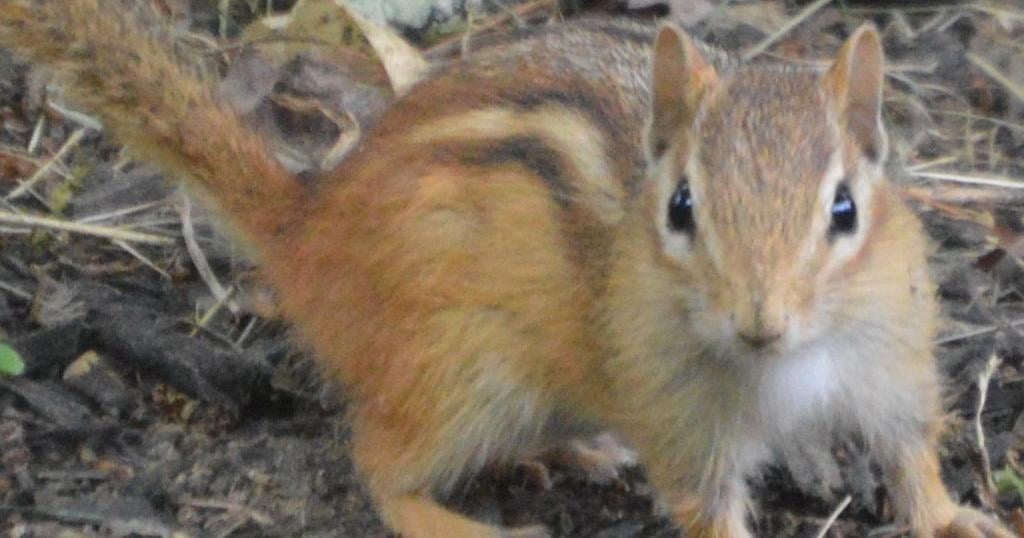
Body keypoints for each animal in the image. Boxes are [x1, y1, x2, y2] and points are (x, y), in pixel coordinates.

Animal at [0, 1, 1014, 537]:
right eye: (682, 208)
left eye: (844, 210)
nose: (759, 320)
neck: (789, 365)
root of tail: (311, 223)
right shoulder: (686, 423)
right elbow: (708, 506)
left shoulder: (889, 362)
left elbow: (911, 453)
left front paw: (956, 518)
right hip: (454, 372)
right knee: (380, 468)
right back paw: (460, 521)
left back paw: (570, 450)